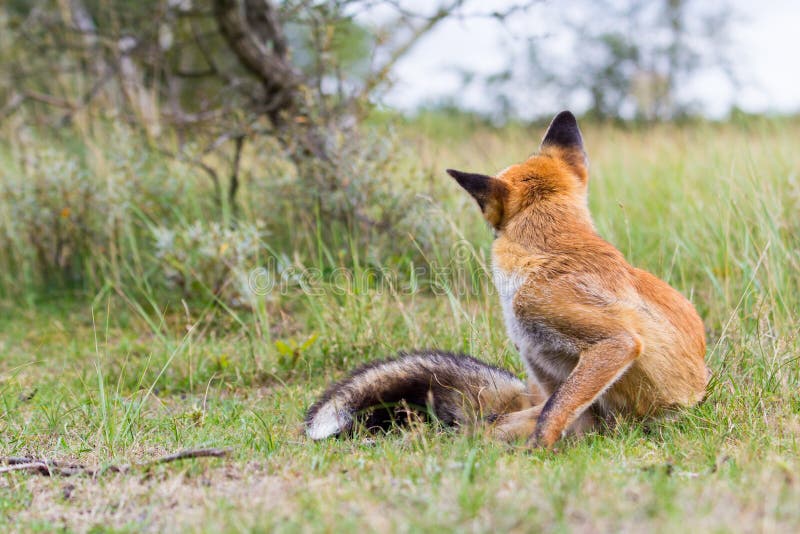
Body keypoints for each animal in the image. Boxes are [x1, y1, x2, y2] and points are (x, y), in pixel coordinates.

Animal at [305, 111, 709, 449]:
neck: (552, 252)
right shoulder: (546, 371)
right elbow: (553, 408)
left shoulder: (612, 341)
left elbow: (555, 411)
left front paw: (537, 450)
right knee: (485, 424)